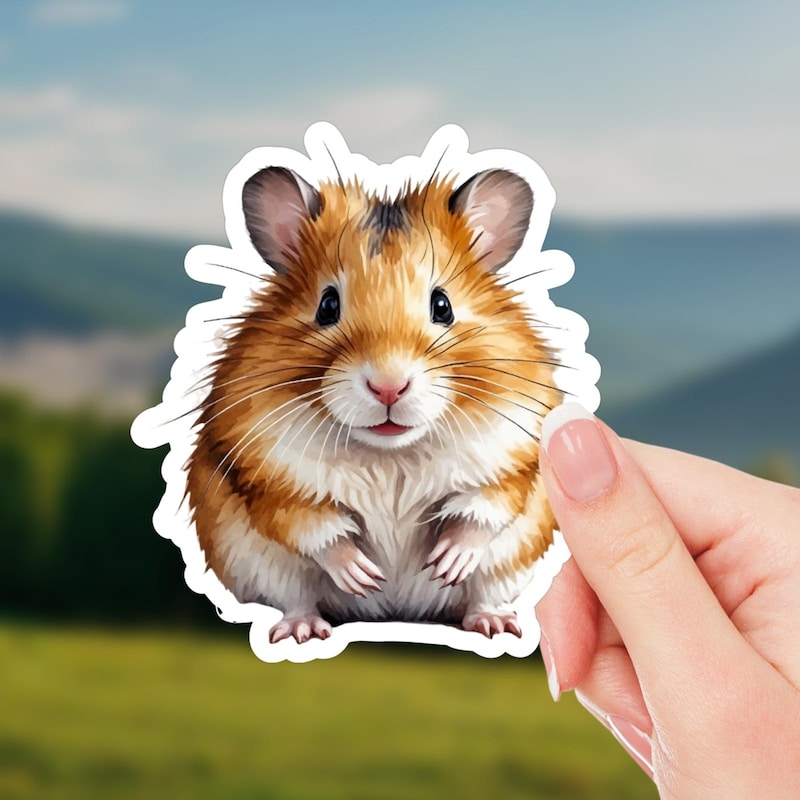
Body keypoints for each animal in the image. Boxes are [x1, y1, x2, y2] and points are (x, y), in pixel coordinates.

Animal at [185, 164, 563, 644]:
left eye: (443, 305)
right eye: (327, 305)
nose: (388, 387)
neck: (391, 455)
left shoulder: (513, 461)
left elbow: (481, 510)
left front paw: (445, 561)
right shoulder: (272, 481)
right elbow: (319, 530)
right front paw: (364, 576)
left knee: (483, 593)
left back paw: (494, 624)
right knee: (297, 597)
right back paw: (303, 629)